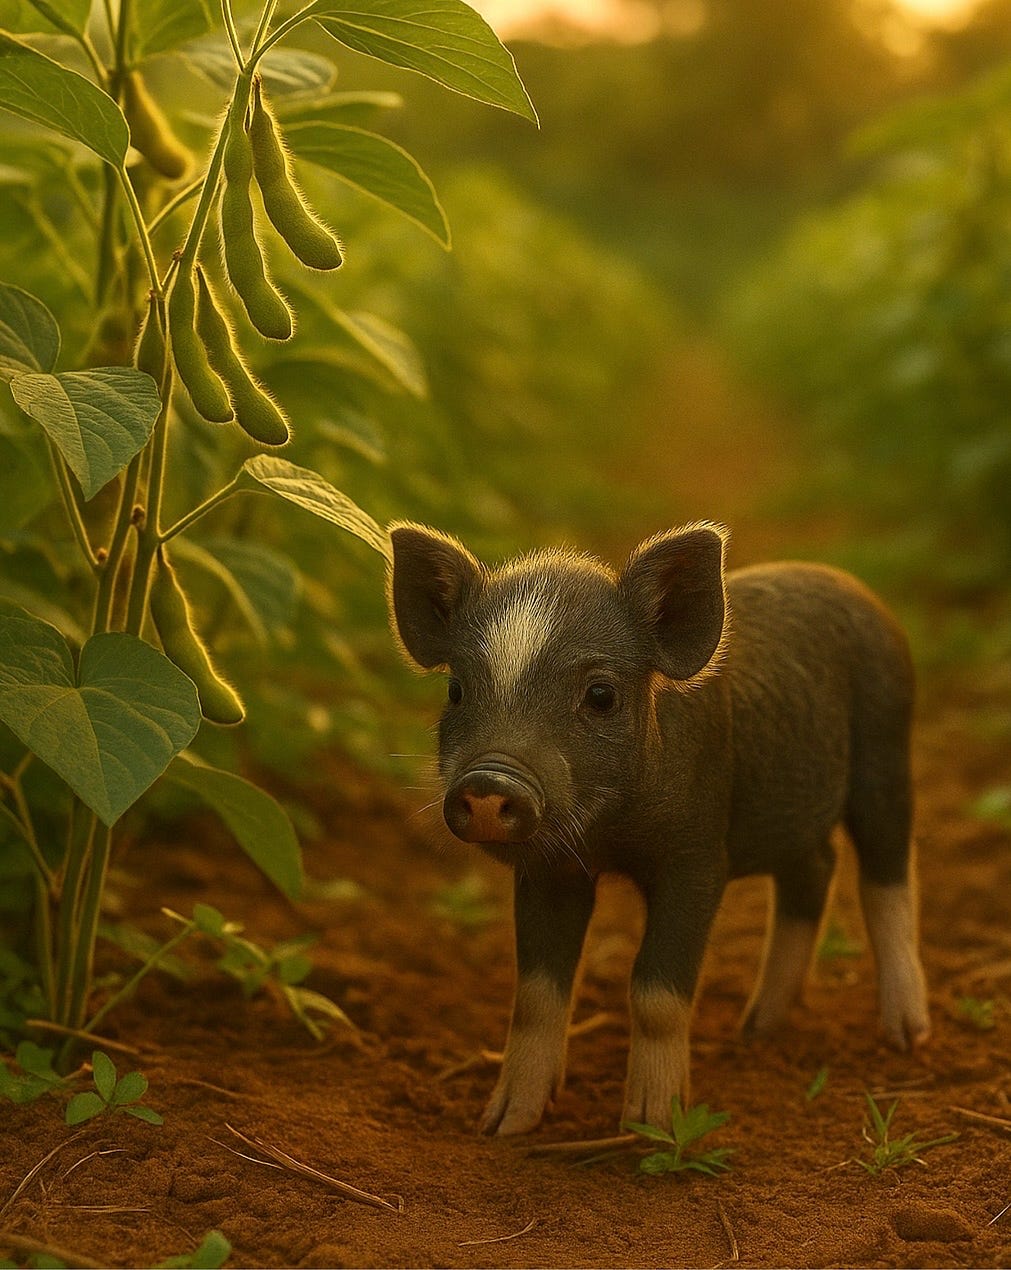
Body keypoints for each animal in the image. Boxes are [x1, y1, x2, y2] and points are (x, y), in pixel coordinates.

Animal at [386, 520, 930, 1135]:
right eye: (456, 690)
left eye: (601, 694)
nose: (488, 781)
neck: (609, 837)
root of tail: (855, 589)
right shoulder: (549, 872)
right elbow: (535, 995)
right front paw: (503, 1126)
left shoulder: (697, 859)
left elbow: (655, 992)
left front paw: (651, 1127)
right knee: (815, 870)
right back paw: (756, 1029)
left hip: (886, 746)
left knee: (887, 872)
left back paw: (907, 1037)